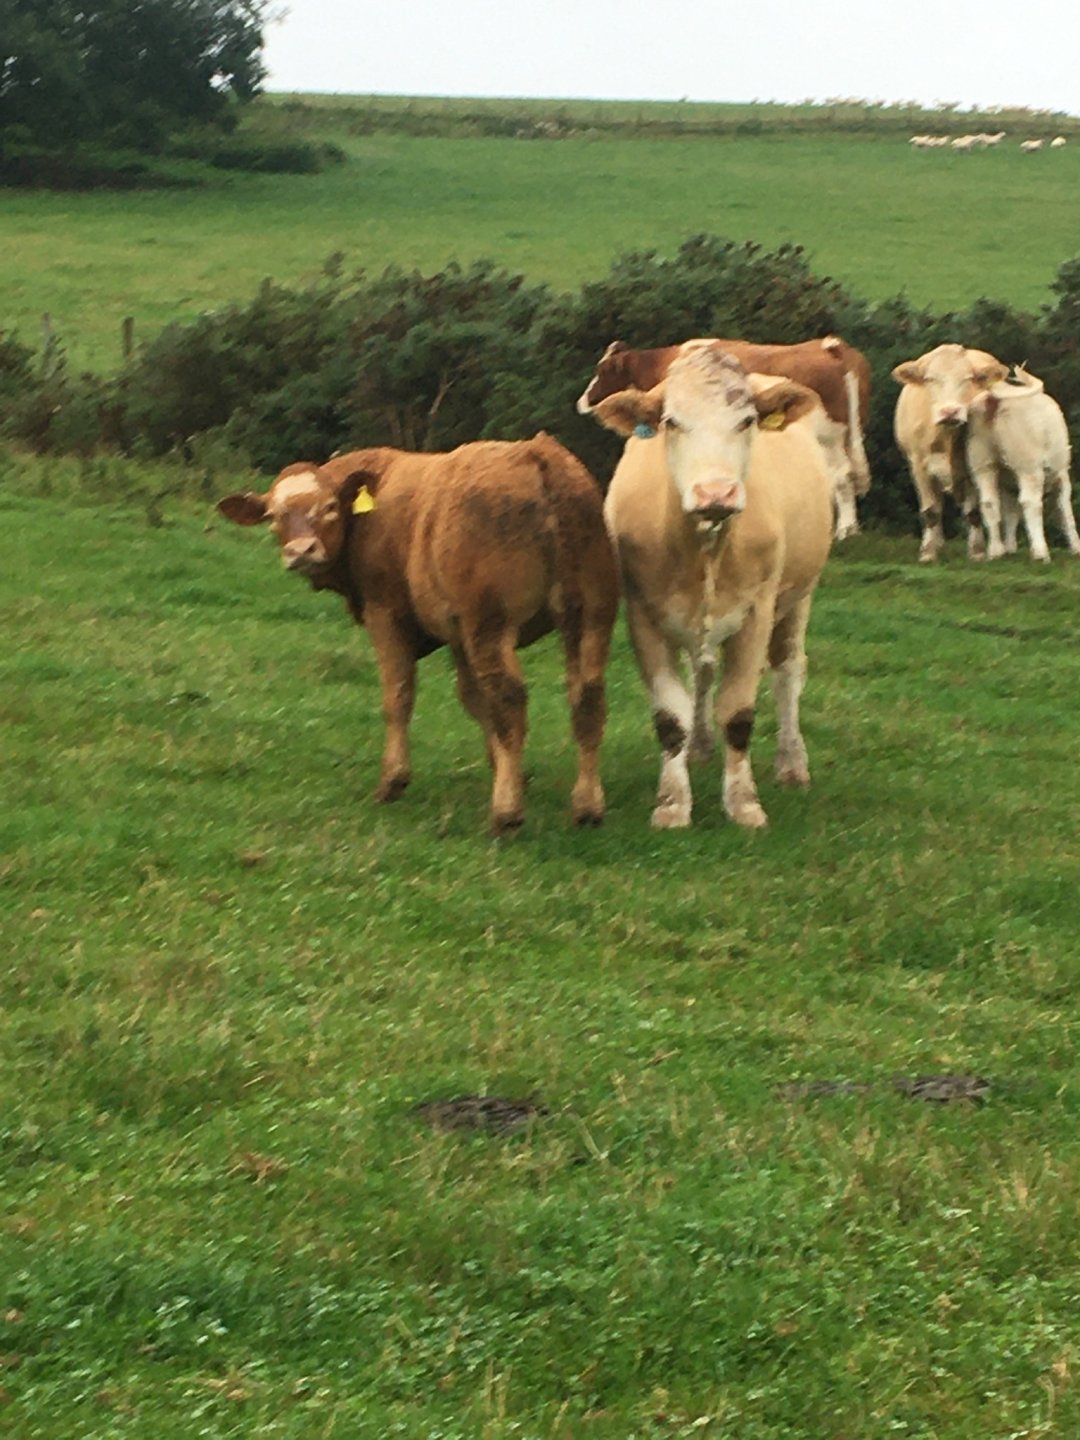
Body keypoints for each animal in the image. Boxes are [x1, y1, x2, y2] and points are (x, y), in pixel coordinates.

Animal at [217, 436, 619, 835]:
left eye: (329, 507)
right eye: (273, 516)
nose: (301, 551)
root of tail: (537, 453)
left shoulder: (385, 615)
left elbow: (398, 696)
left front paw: (393, 779)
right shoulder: (458, 632)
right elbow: (474, 699)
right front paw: (505, 768)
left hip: (491, 623)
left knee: (510, 701)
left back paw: (506, 811)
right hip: (591, 615)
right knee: (587, 700)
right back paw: (587, 804)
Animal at [577, 334, 871, 540]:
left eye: (603, 371)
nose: (582, 402)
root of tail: (829, 346)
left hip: (829, 437)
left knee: (841, 476)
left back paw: (845, 529)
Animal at [591, 344, 834, 830]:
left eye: (747, 421)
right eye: (671, 421)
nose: (716, 493)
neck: (704, 545)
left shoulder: (758, 611)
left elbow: (738, 712)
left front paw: (743, 803)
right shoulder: (643, 613)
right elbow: (670, 715)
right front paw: (672, 803)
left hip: (799, 595)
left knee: (787, 672)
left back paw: (792, 762)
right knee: (702, 673)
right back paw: (699, 747)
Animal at [892, 344, 1080, 561]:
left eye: (967, 379)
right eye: (930, 379)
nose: (950, 412)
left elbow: (986, 511)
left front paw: (982, 551)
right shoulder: (918, 464)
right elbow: (1063, 509)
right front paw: (928, 553)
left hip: (984, 464)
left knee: (989, 503)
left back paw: (995, 551)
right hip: (1027, 465)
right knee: (1029, 501)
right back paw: (1039, 553)